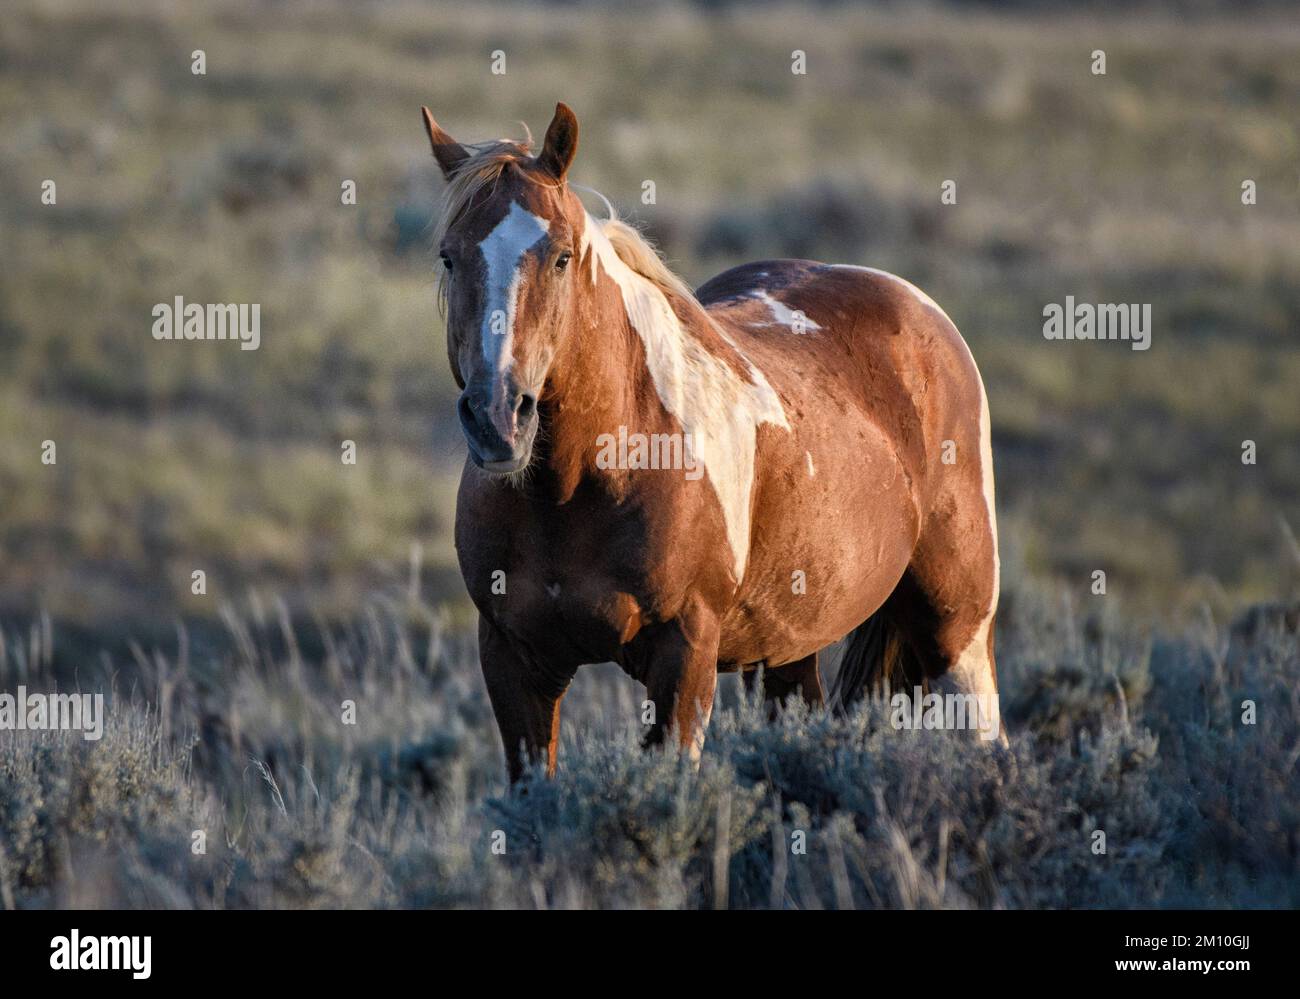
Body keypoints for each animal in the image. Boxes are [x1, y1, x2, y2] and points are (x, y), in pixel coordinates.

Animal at [421, 102, 1003, 781]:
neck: (574, 488)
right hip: (790, 648)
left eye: (562, 257)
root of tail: (918, 308)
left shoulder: (685, 654)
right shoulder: (513, 660)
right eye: (449, 257)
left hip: (958, 629)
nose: (497, 417)